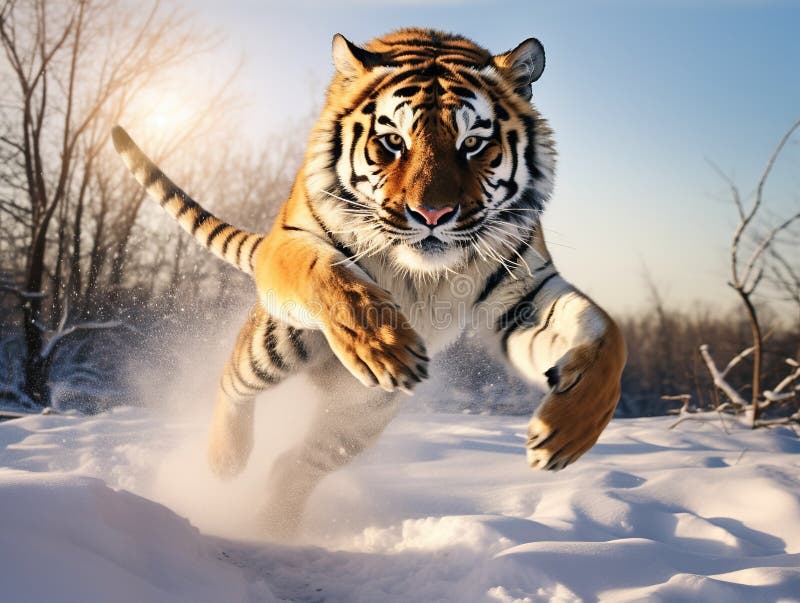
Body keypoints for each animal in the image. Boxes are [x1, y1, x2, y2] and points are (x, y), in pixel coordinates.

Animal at [112, 28, 626, 538]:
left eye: (473, 143)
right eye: (393, 141)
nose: (433, 214)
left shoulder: (521, 294)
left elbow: (608, 336)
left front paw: (566, 434)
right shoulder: (293, 243)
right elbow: (332, 277)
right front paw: (384, 347)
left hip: (360, 414)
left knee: (294, 466)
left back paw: (273, 528)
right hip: (282, 341)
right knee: (233, 381)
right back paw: (225, 463)